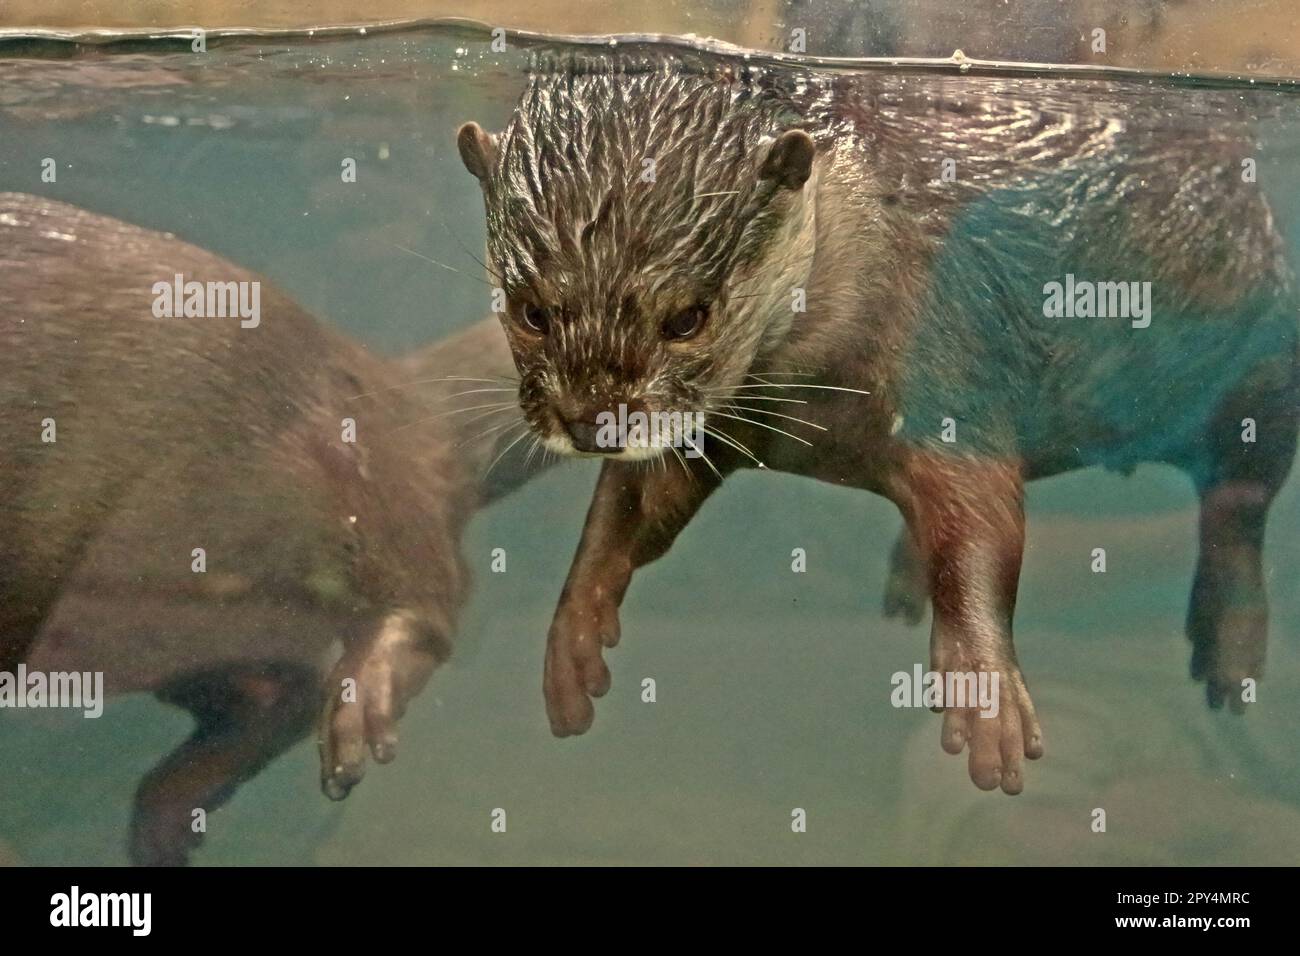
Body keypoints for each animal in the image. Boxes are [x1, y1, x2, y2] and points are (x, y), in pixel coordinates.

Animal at [0, 193, 530, 863]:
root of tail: (403, 399)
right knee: (284, 692)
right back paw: (169, 814)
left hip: (311, 484)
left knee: (426, 595)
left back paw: (358, 711)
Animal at [457, 56, 1299, 795]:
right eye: (531, 311)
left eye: (687, 318)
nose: (591, 420)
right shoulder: (718, 421)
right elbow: (633, 508)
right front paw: (573, 639)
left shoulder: (949, 355)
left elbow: (983, 529)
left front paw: (986, 695)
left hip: (1265, 360)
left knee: (1242, 497)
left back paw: (1231, 646)